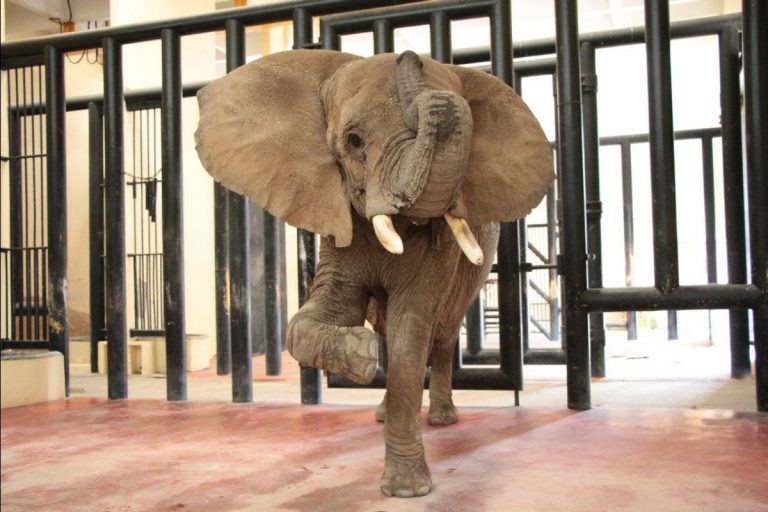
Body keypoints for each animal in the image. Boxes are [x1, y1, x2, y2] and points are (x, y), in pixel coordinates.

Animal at [195, 49, 554, 498]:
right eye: (354, 141)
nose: (410, 57)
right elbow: (322, 315)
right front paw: (359, 353)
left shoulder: (439, 252)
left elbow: (411, 329)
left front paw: (407, 490)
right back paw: (381, 405)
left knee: (440, 334)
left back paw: (442, 419)